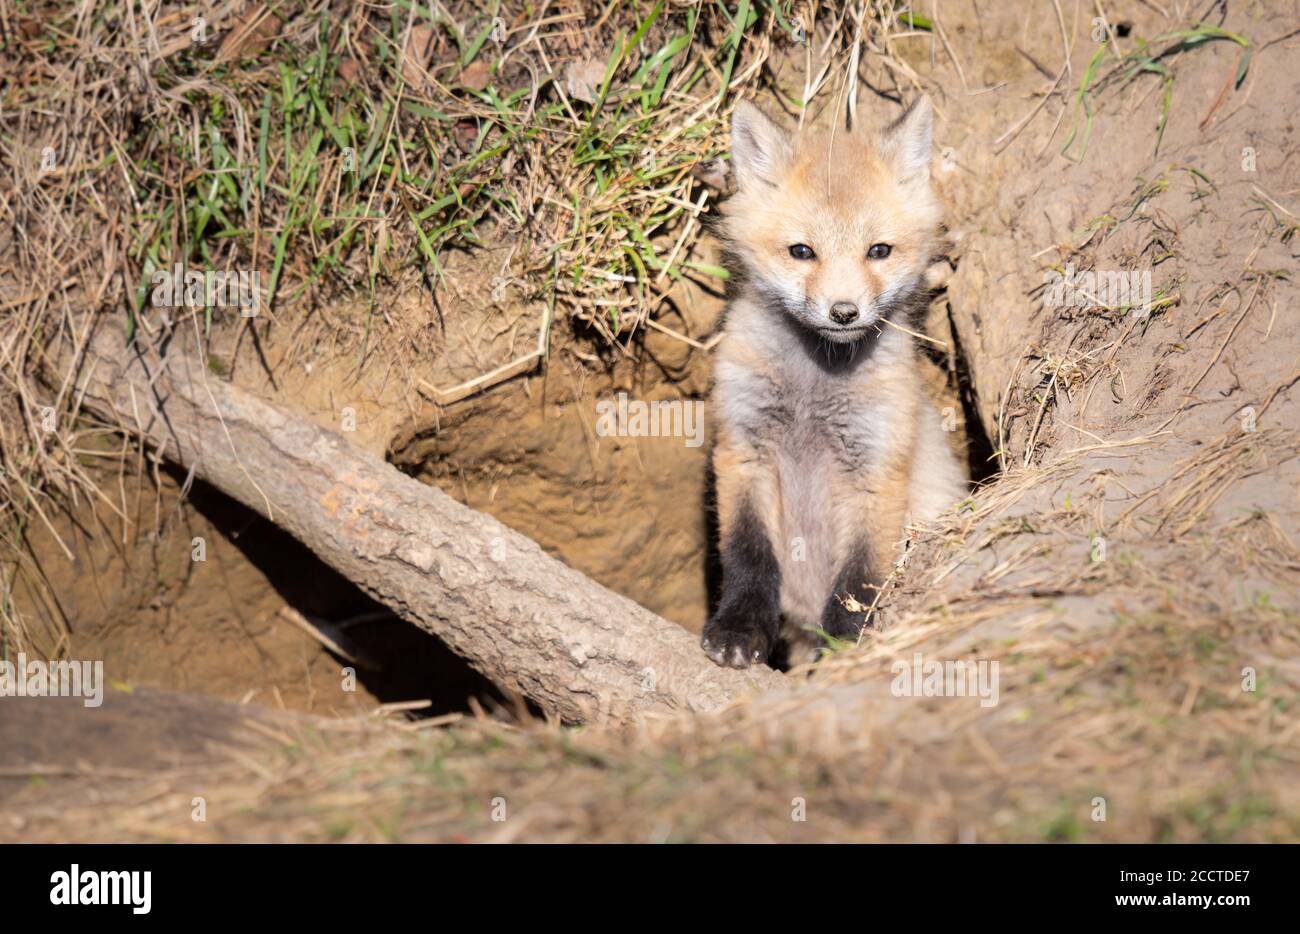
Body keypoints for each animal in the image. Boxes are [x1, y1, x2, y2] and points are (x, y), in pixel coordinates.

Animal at [702, 95, 968, 669]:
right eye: (802, 251)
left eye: (879, 251)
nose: (844, 313)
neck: (813, 389)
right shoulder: (743, 450)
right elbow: (748, 553)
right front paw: (737, 629)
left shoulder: (878, 468)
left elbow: (858, 582)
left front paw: (844, 647)